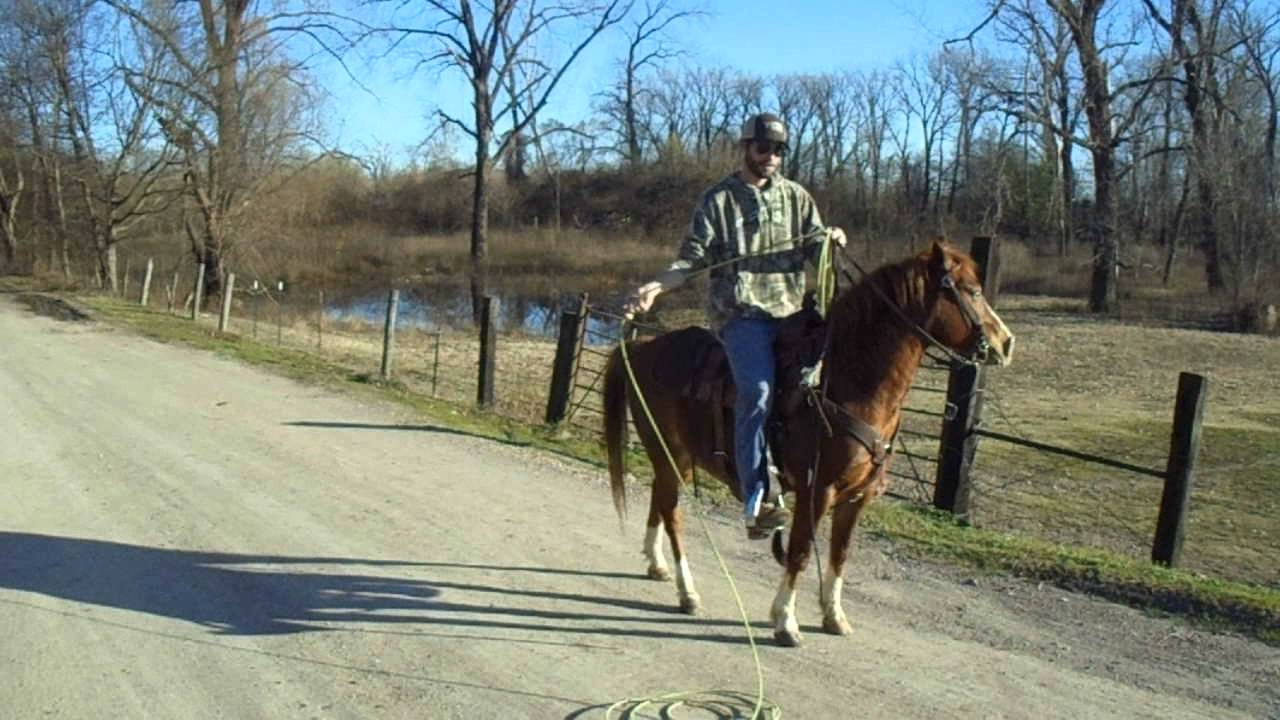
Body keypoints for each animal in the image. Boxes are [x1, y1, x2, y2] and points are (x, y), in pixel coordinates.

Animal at [602, 240, 1015, 647]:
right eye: (973, 291)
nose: (1006, 343)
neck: (848, 383)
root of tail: (643, 347)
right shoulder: (817, 490)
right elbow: (800, 551)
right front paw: (785, 621)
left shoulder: (857, 497)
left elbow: (840, 554)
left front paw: (834, 616)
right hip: (668, 451)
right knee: (674, 516)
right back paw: (688, 593)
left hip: (678, 458)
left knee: (659, 499)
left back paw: (656, 564)